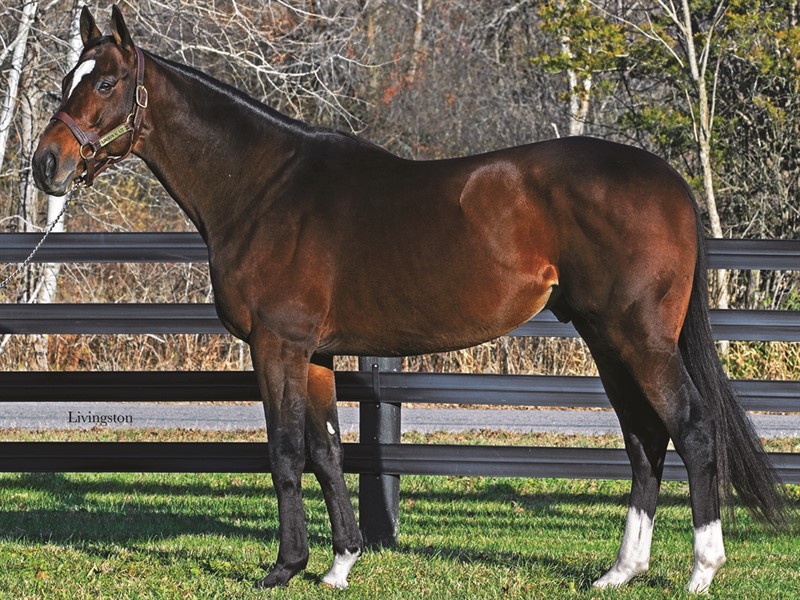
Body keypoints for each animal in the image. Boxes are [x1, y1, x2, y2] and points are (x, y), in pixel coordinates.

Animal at [32, 5, 786, 593]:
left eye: (105, 81)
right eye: (67, 81)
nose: (46, 164)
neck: (264, 188)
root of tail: (672, 183)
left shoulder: (277, 345)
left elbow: (284, 451)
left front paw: (284, 567)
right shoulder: (315, 355)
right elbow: (328, 450)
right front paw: (339, 564)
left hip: (640, 339)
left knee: (691, 427)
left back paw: (700, 570)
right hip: (608, 339)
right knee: (643, 439)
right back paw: (620, 571)